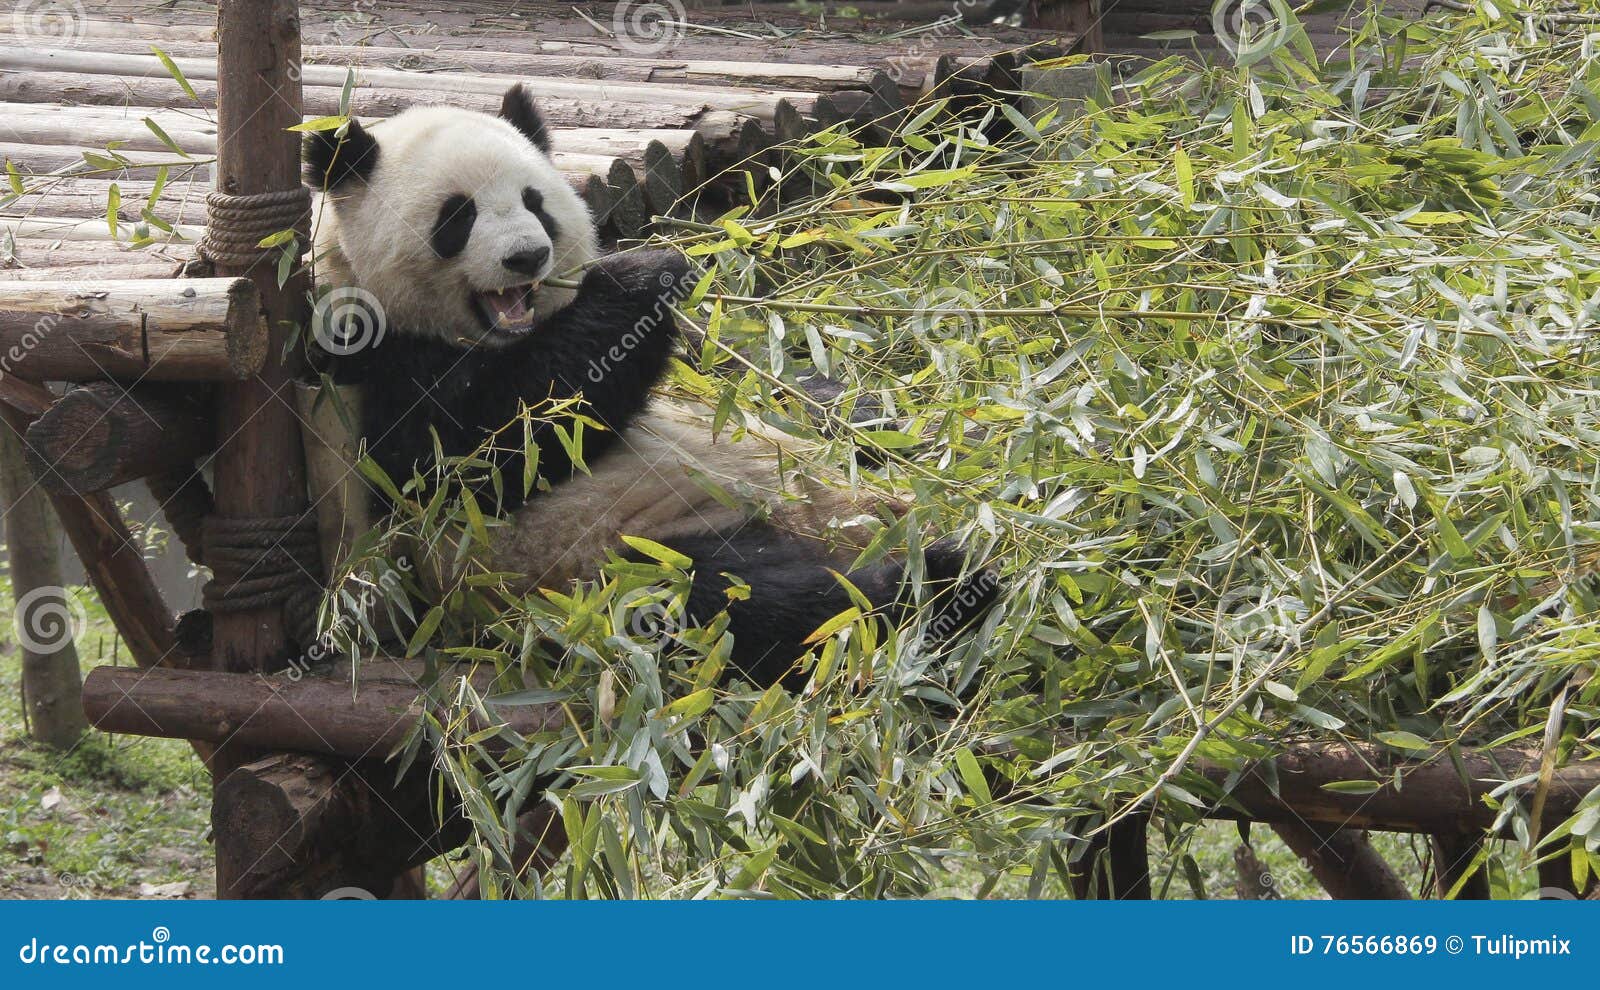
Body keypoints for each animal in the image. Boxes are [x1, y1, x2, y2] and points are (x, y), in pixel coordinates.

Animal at [304, 84, 998, 690]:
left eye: (535, 203)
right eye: (458, 215)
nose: (528, 257)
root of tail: (866, 519)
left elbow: (763, 386)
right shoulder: (369, 371)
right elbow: (477, 453)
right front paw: (649, 271)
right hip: (614, 558)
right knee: (752, 603)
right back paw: (947, 581)